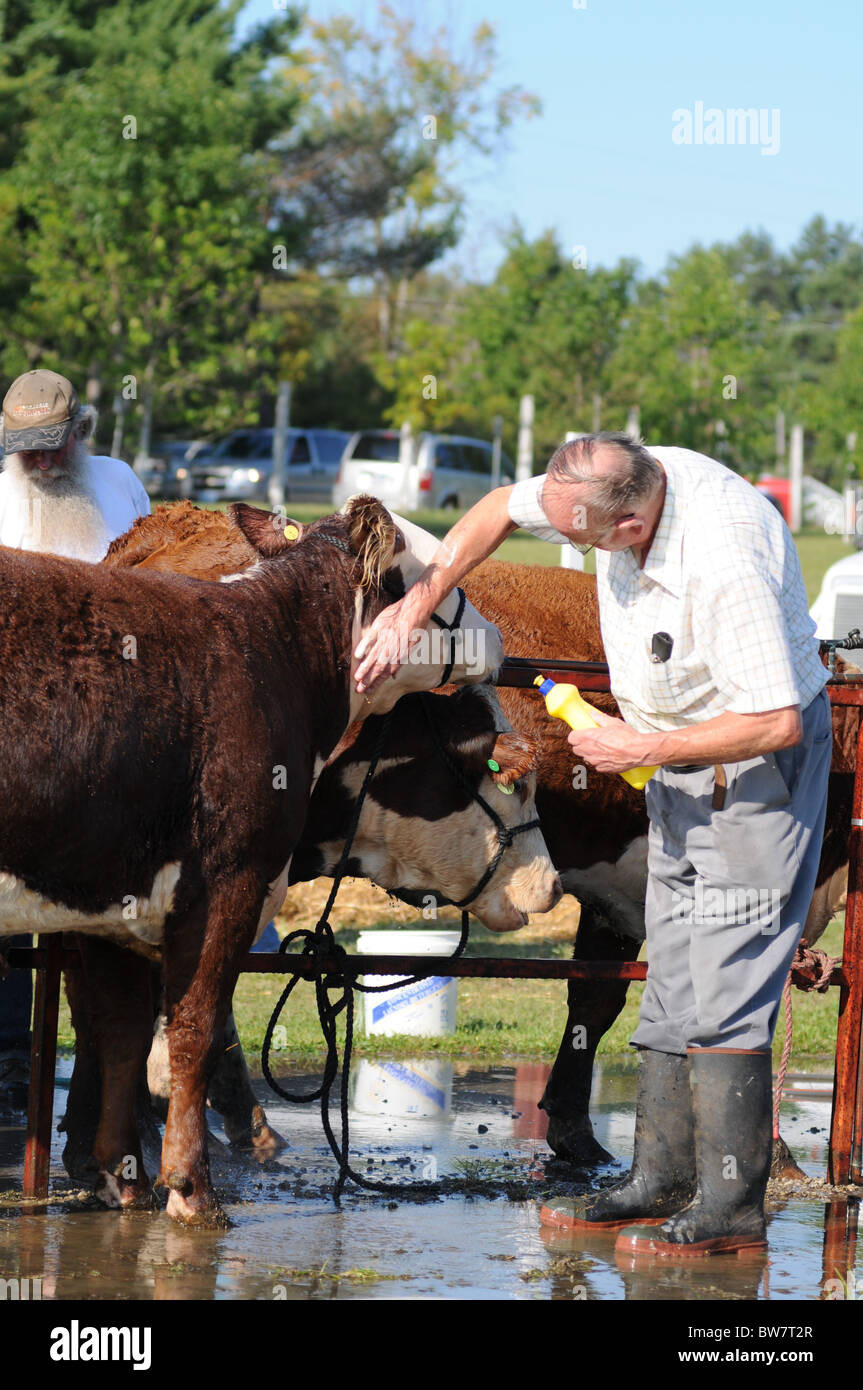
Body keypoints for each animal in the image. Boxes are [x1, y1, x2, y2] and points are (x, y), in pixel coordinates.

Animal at [0, 496, 565, 1224]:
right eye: (508, 778)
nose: (550, 883)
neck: (272, 654)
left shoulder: (107, 892)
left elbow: (120, 1033)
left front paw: (124, 1178)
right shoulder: (229, 882)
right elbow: (192, 1032)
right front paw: (191, 1189)